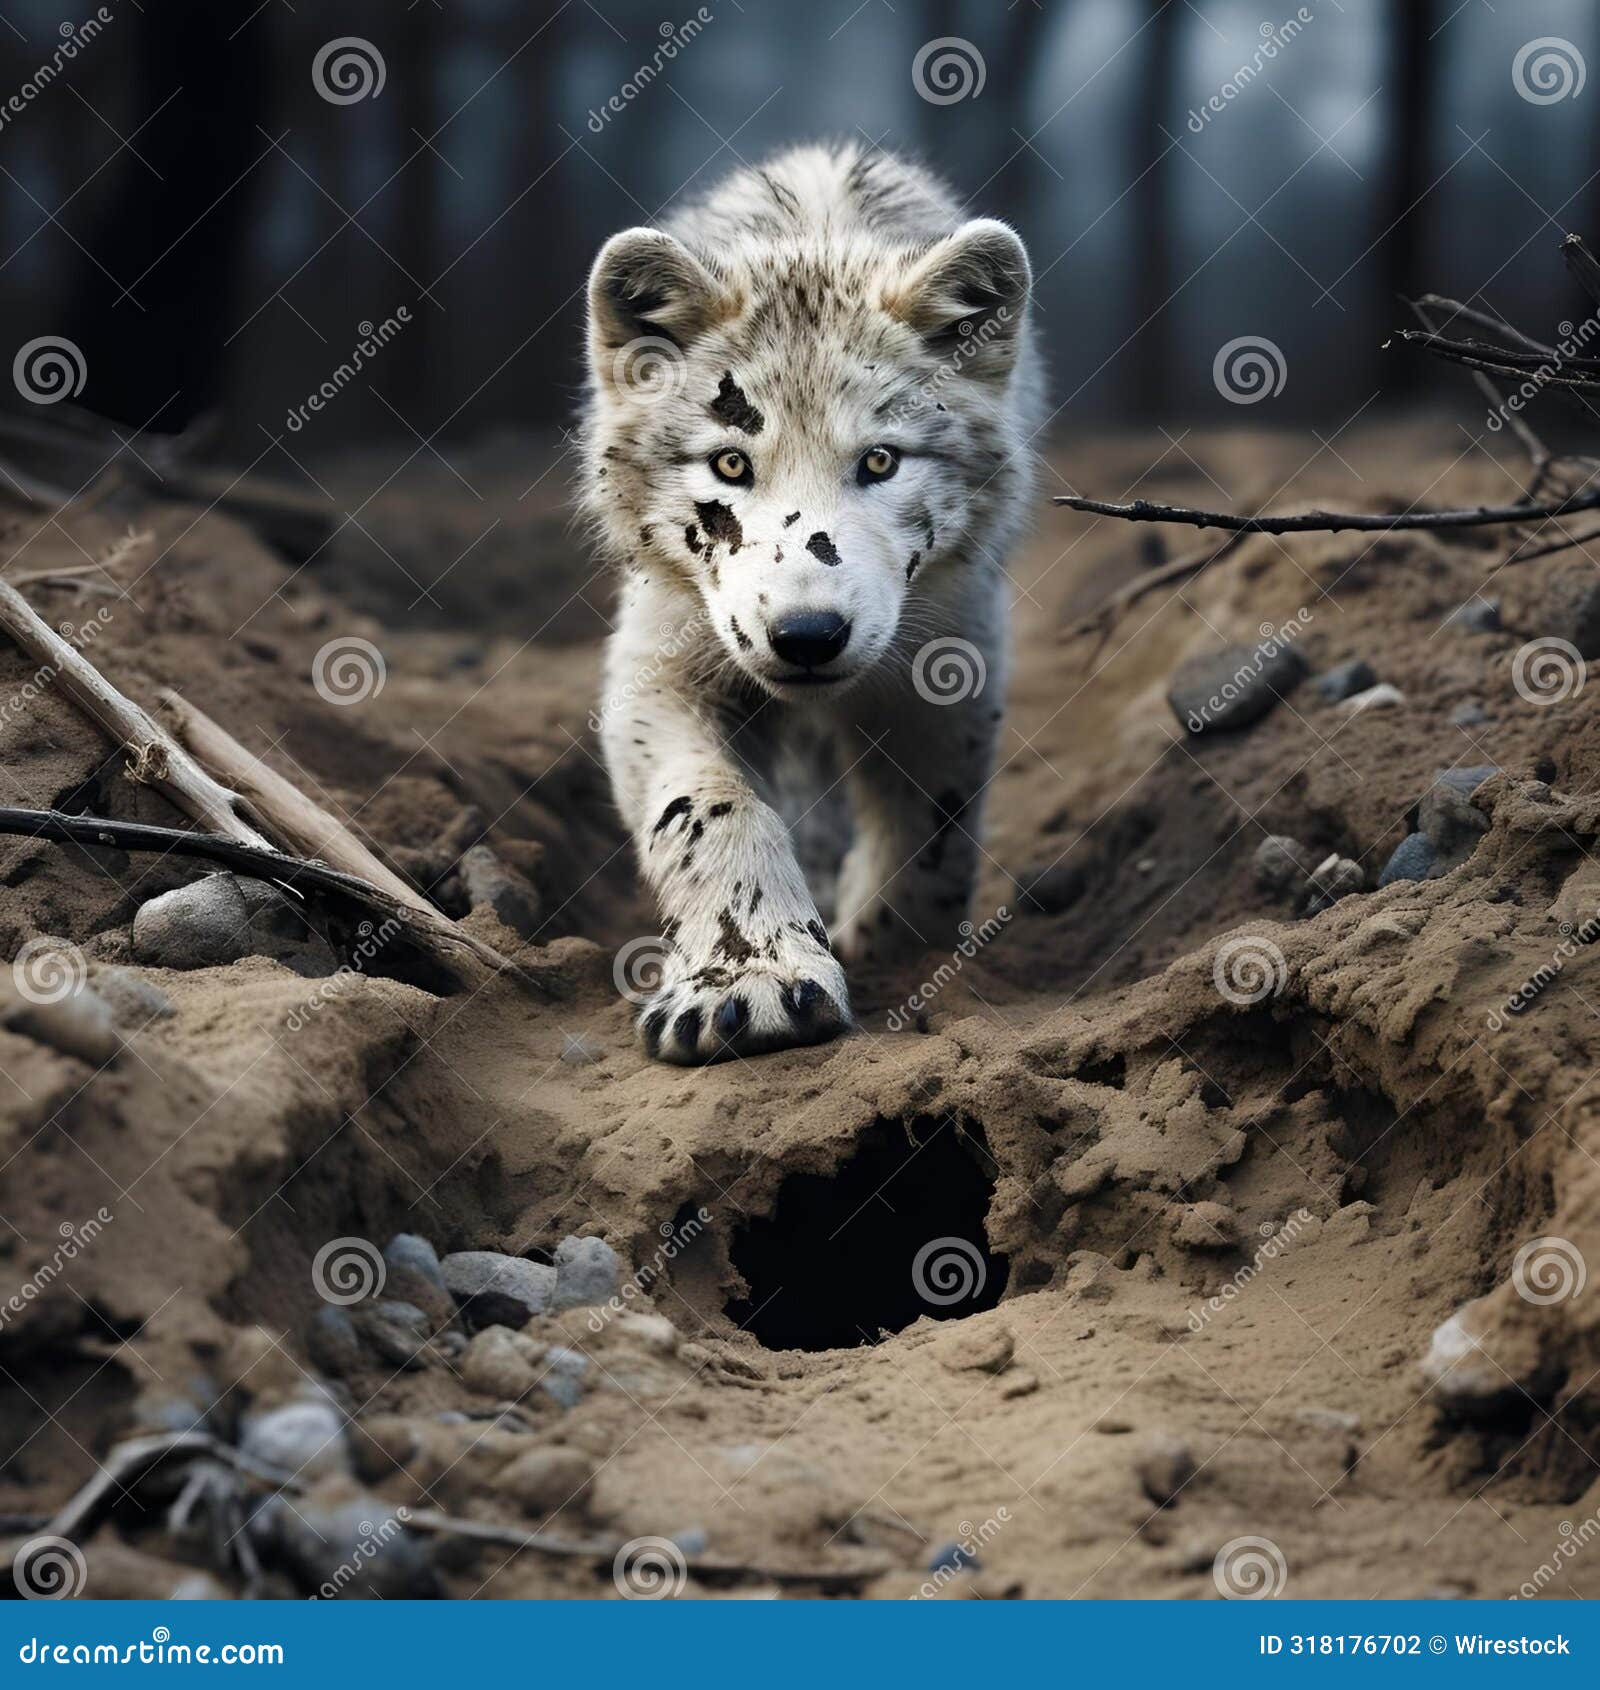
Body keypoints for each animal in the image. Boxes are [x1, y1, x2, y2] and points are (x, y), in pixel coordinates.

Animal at [581, 142, 1040, 1064]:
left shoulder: (948, 674)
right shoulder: (661, 671)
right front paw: (749, 984)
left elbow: (932, 835)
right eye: (729, 464)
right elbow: (709, 810)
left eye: (880, 462)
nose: (807, 634)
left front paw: (885, 945)